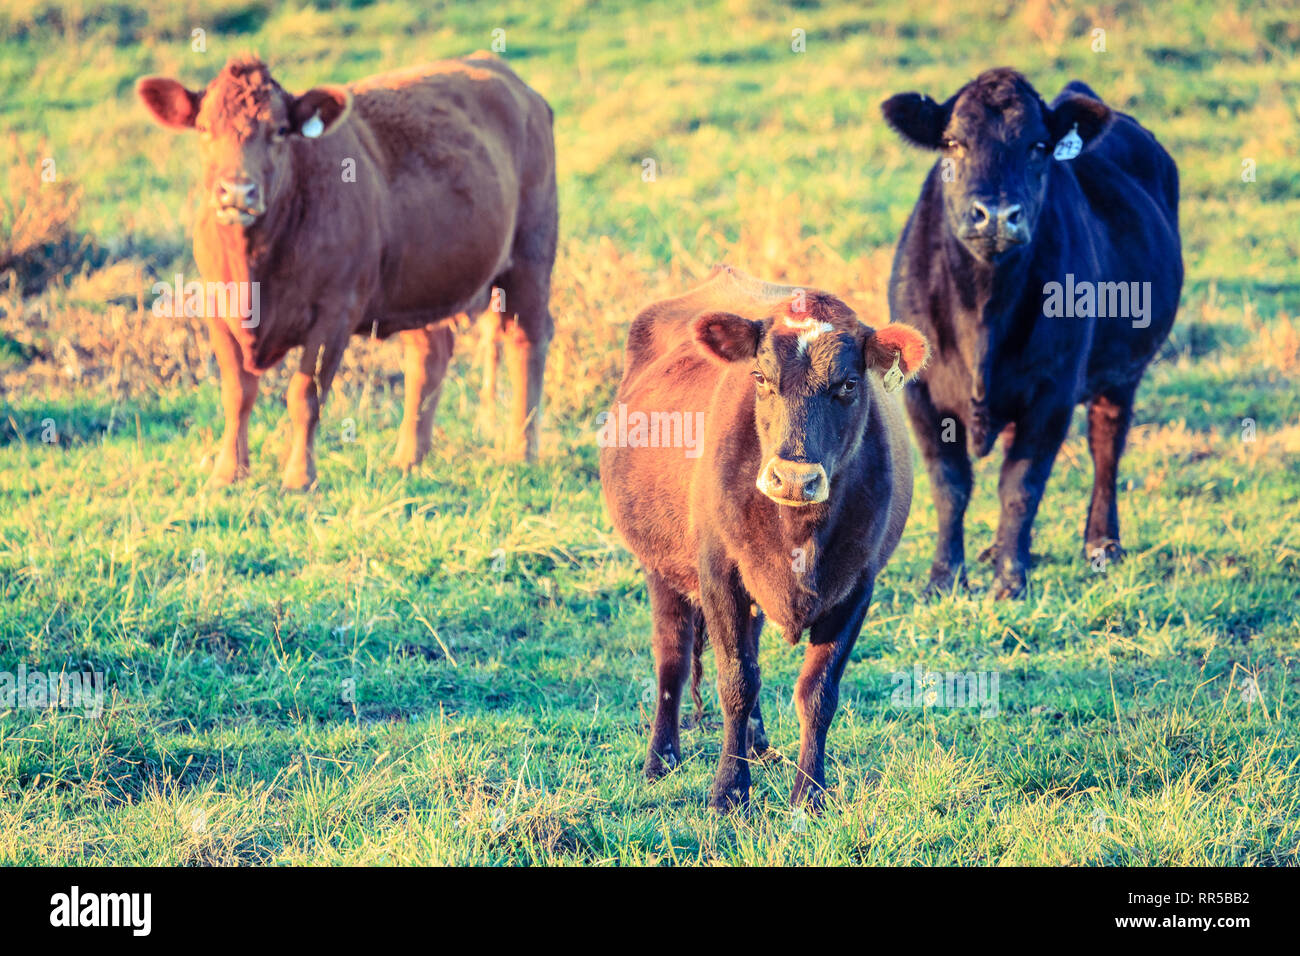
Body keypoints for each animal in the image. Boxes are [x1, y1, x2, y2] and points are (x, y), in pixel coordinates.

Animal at [137, 53, 557, 489]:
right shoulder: (218, 310)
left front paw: (299, 478)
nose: (237, 191)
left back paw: (520, 453)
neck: (255, 269)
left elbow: (304, 396)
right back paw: (408, 458)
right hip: (424, 279)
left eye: (280, 130)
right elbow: (238, 393)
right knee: (429, 354)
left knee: (527, 341)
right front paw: (228, 472)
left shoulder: (334, 314)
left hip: (531, 254)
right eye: (204, 128)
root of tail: (496, 68)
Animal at [600, 265, 928, 809]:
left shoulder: (857, 586)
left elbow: (818, 693)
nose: (793, 479)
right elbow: (737, 680)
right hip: (660, 567)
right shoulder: (719, 575)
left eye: (848, 384)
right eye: (760, 377)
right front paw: (729, 791)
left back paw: (757, 745)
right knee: (672, 657)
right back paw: (661, 760)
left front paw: (809, 794)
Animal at [881, 68, 1181, 599]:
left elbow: (1021, 484)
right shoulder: (921, 393)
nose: (998, 216)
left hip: (1122, 375)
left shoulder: (1053, 393)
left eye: (1039, 146)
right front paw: (945, 578)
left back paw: (1101, 542)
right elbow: (949, 483)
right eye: (953, 142)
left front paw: (1010, 580)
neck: (983, 312)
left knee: (1107, 443)